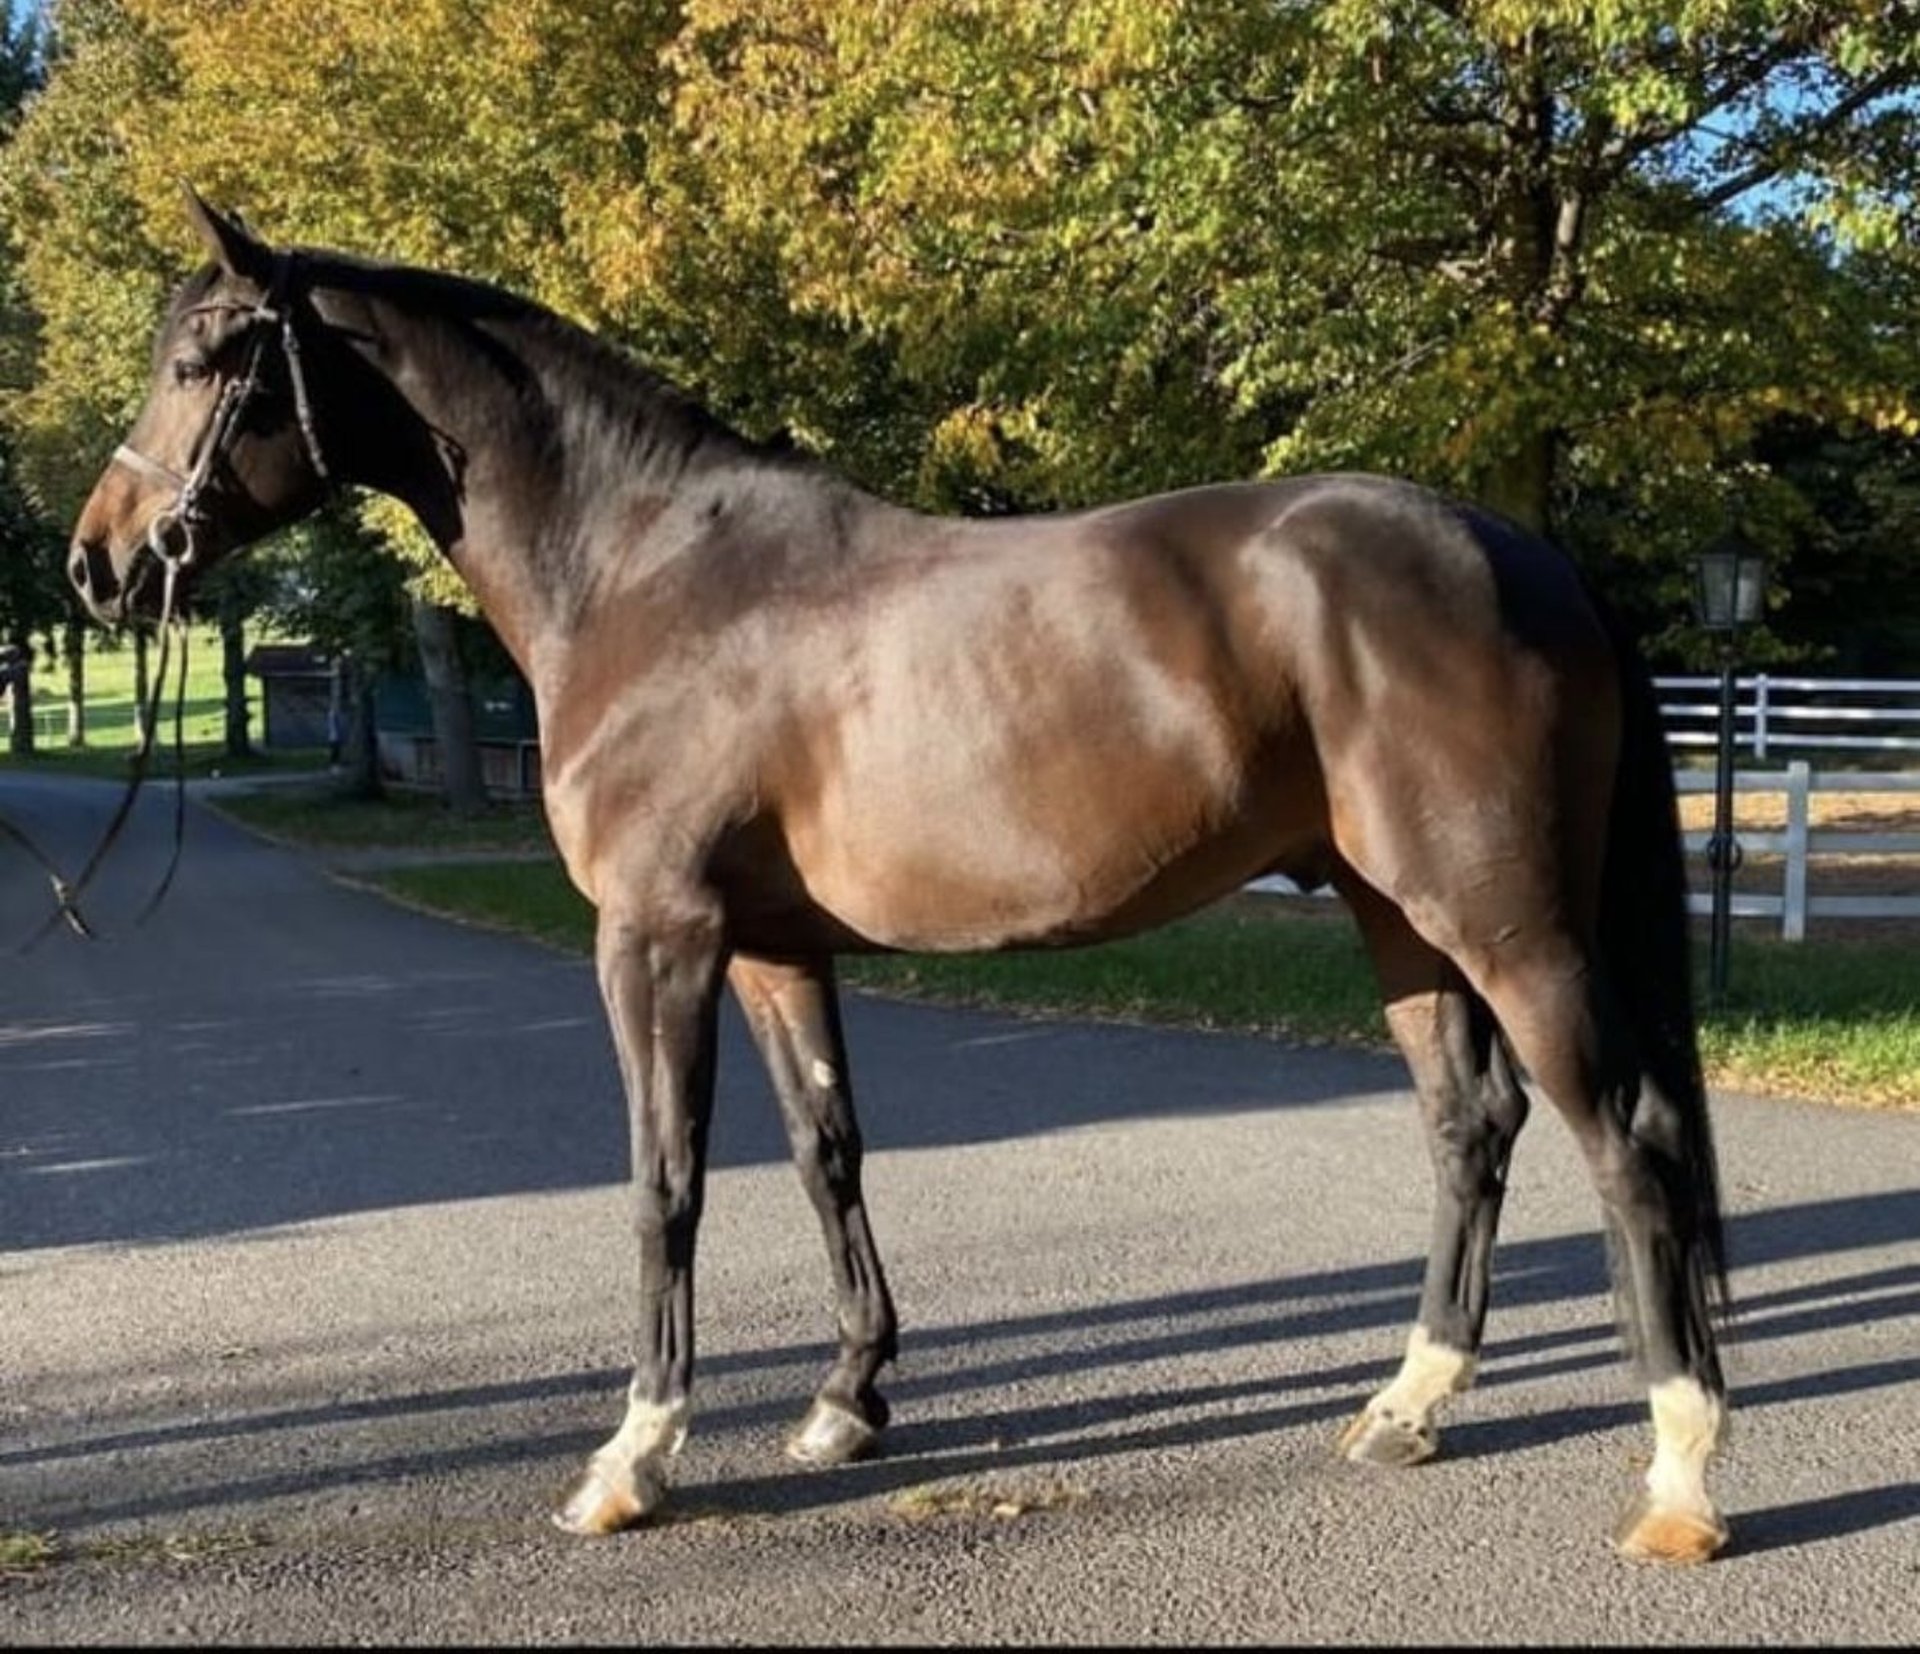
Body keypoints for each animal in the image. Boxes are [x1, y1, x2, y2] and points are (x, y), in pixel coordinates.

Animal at [66, 189, 1732, 1564]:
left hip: (1503, 918)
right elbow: (827, 1151)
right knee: (1471, 1125)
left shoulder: (653, 937)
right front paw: (849, 1398)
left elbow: (665, 1178)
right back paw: (1410, 1404)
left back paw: (1680, 1477)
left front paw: (634, 1455)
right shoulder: (770, 943)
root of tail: (1522, 549)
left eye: (209, 358)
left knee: (1626, 1134)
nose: (98, 562)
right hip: (1400, 918)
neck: (645, 569)